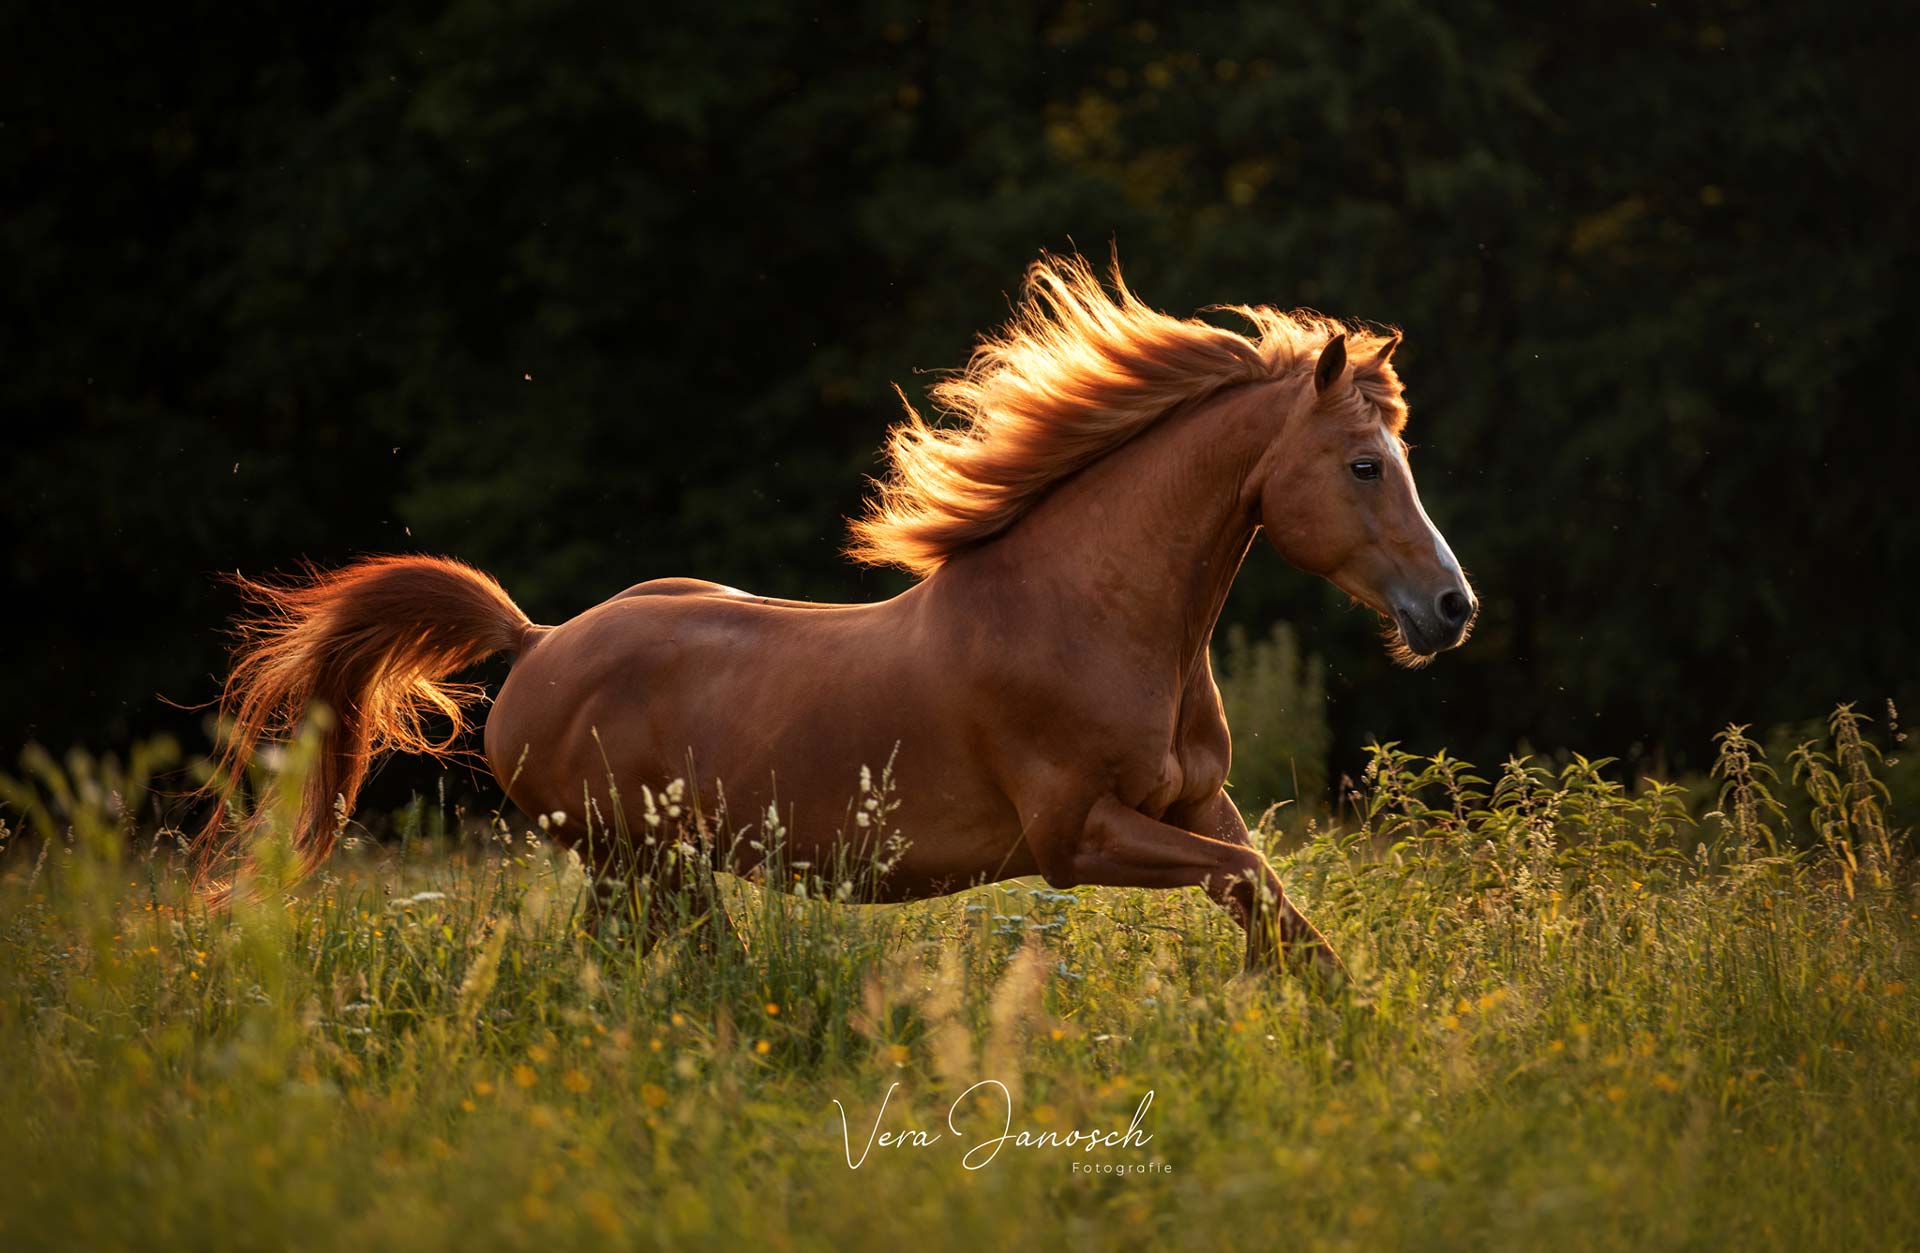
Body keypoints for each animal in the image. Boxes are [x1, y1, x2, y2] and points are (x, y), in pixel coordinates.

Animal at [197, 254, 1475, 979]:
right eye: (1365, 464)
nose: (1451, 607)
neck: (1093, 618)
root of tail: (540, 643)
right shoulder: (1076, 838)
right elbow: (1250, 884)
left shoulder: (1195, 802)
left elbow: (1273, 901)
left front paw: (1338, 1019)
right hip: (636, 861)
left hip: (659, 866)